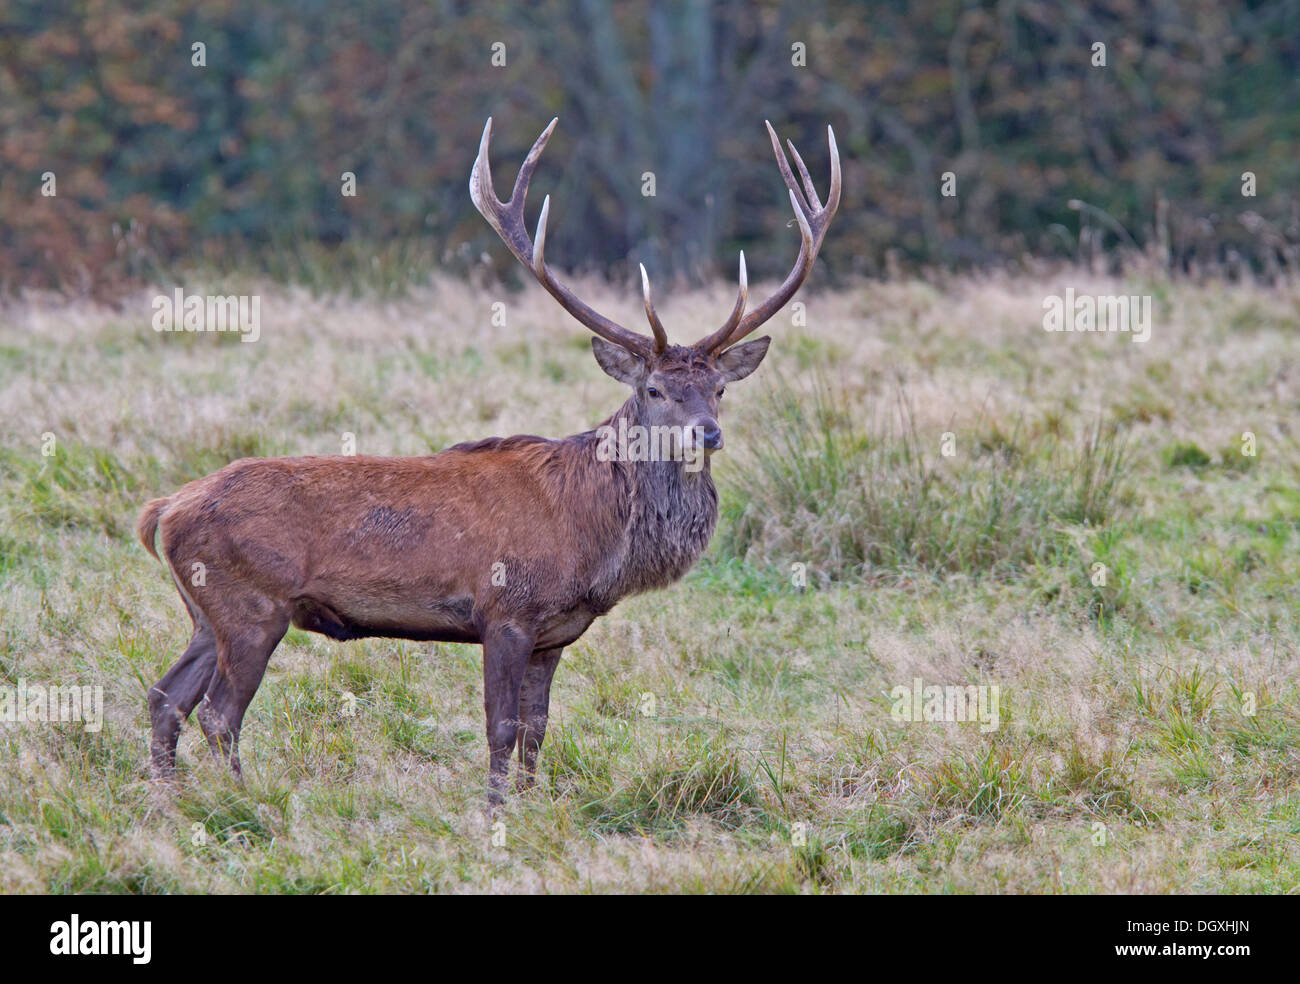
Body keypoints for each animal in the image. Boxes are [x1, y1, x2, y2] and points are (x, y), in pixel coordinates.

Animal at [137, 116, 840, 804]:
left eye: (719, 389)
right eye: (654, 390)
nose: (706, 435)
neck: (593, 537)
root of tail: (164, 510)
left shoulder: (555, 633)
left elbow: (537, 729)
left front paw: (529, 807)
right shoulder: (505, 611)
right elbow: (501, 727)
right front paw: (496, 811)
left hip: (205, 610)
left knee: (165, 697)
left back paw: (171, 799)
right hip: (252, 603)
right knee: (219, 712)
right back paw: (243, 802)